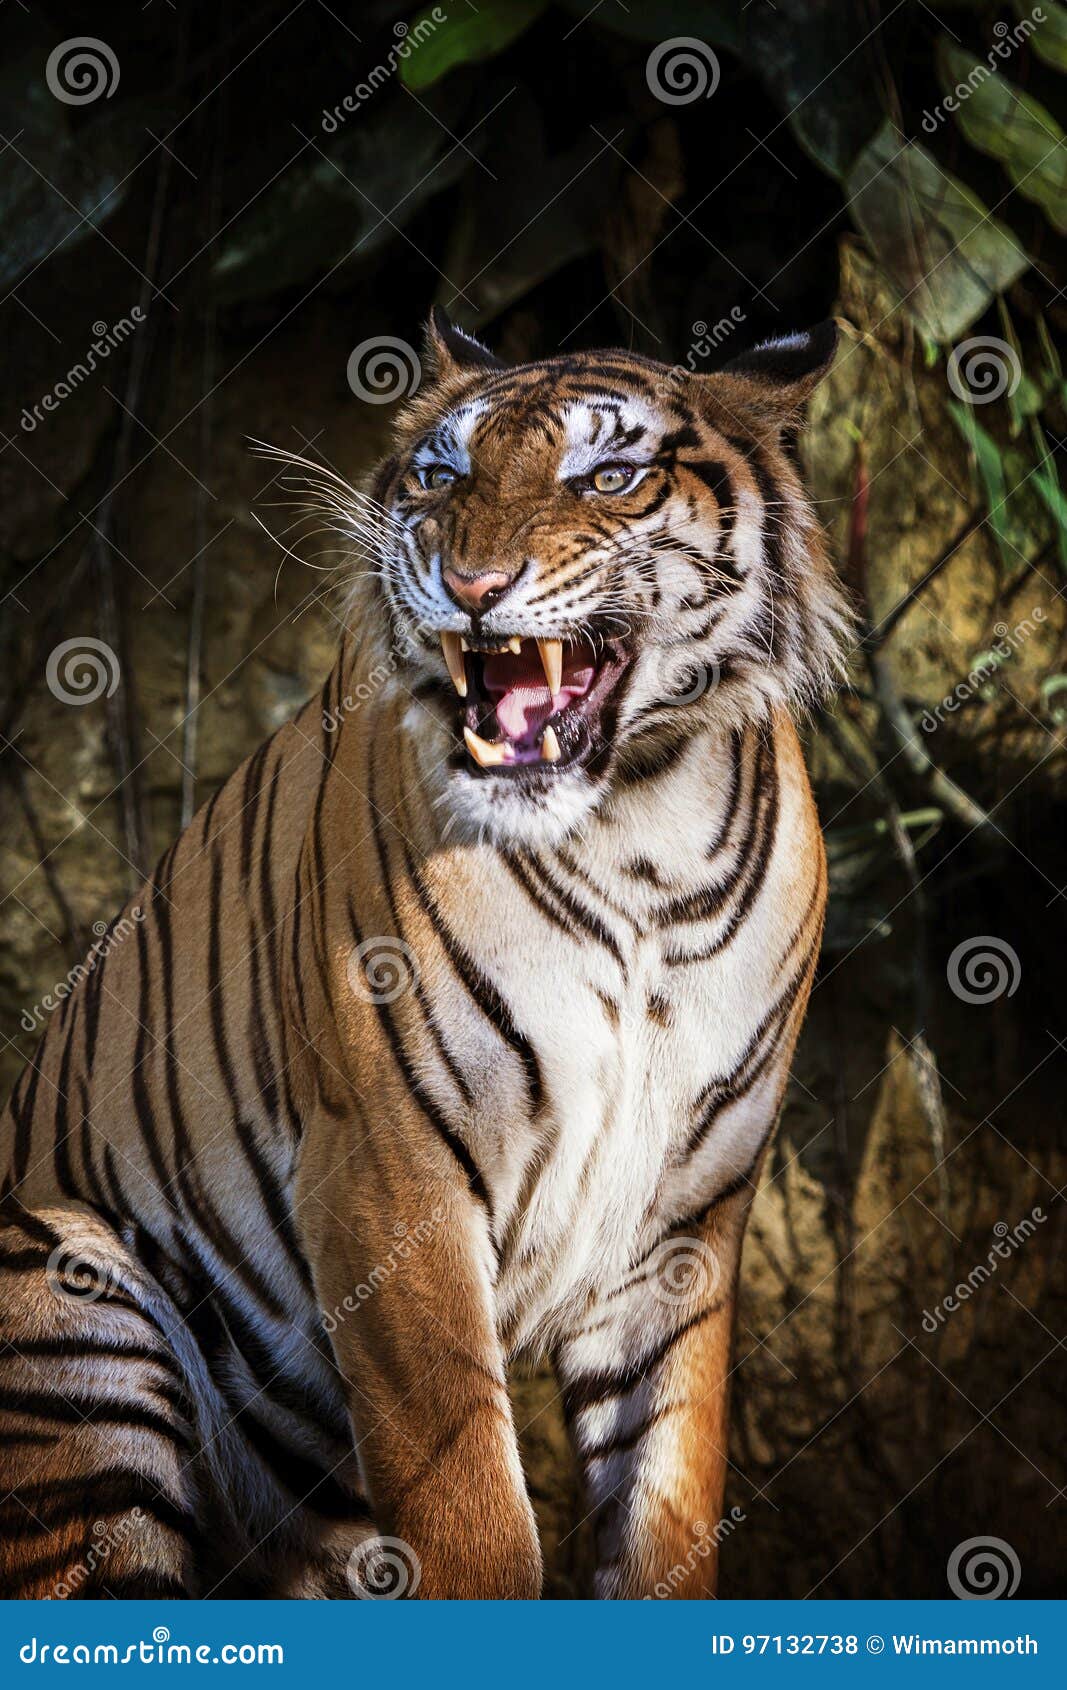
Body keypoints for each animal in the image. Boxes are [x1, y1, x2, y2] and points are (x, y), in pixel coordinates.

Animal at [0, 308, 848, 1600]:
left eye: (608, 476)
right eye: (442, 476)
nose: (471, 586)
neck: (636, 836)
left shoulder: (682, 1223)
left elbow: (664, 1519)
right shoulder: (388, 1174)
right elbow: (474, 1520)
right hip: (73, 1298)